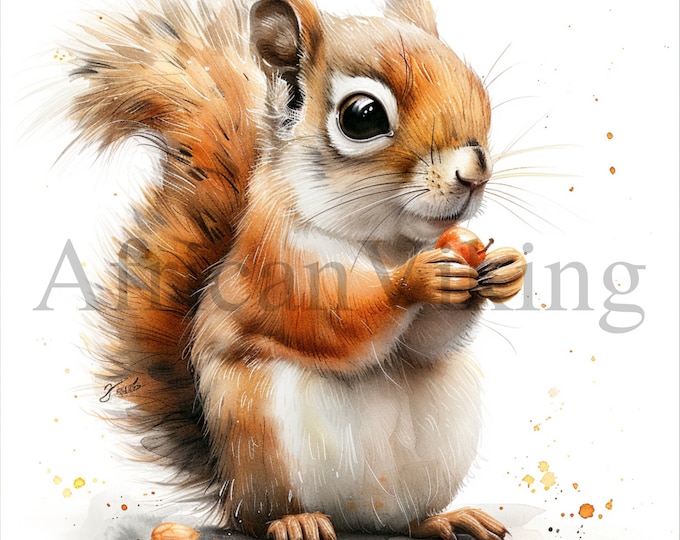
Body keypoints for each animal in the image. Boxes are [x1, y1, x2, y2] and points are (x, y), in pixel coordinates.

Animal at [64, 0, 526, 539]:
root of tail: (229, 489)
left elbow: (425, 341)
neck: (388, 241)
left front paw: (507, 269)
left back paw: (443, 518)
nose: (475, 173)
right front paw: (417, 280)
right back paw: (296, 521)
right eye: (362, 117)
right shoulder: (278, 268)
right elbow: (333, 322)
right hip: (265, 442)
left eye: (478, 89)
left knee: (405, 519)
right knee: (260, 517)